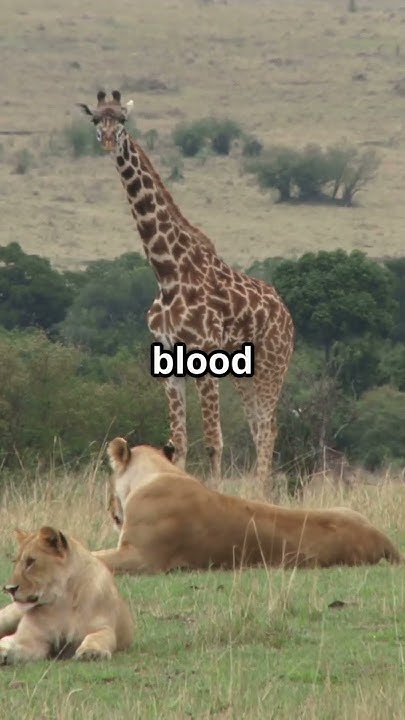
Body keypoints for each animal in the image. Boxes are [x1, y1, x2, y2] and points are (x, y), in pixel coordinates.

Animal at [77, 90, 294, 495]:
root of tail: (287, 315)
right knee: (259, 427)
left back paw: (262, 495)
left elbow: (213, 440)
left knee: (267, 428)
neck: (168, 272)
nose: (109, 142)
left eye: (122, 120)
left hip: (273, 364)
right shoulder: (168, 359)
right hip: (246, 374)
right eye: (96, 119)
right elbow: (177, 442)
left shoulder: (205, 352)